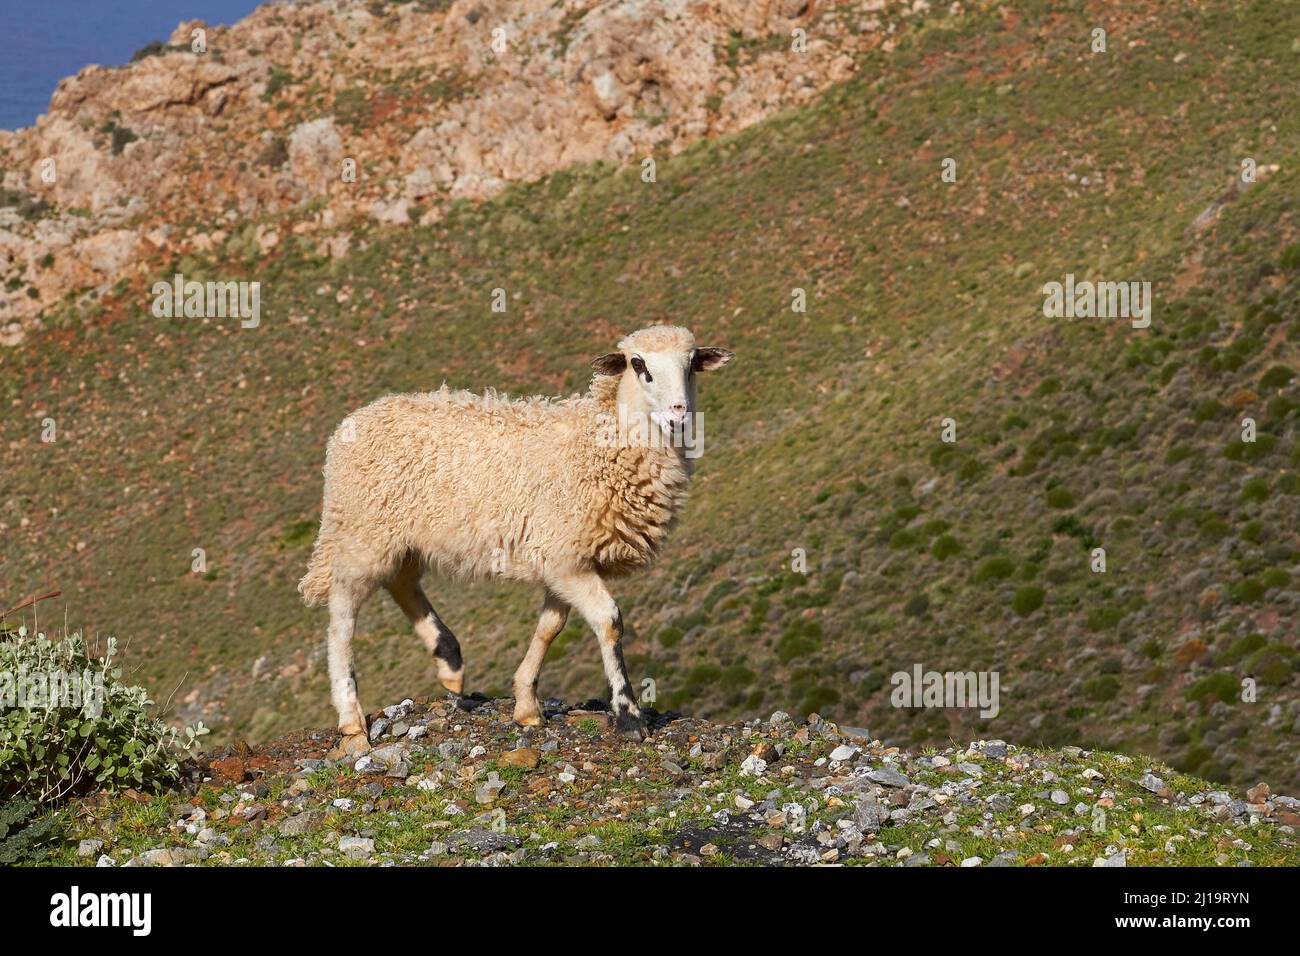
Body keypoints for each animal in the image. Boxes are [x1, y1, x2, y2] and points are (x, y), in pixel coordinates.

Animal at [299, 325, 733, 752]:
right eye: (638, 364)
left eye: (692, 364)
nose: (679, 413)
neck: (601, 446)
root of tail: (353, 421)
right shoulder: (566, 560)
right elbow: (608, 622)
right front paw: (628, 716)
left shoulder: (563, 563)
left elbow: (549, 628)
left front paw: (526, 703)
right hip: (362, 531)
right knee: (343, 614)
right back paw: (351, 715)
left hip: (398, 536)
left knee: (401, 582)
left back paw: (450, 662)